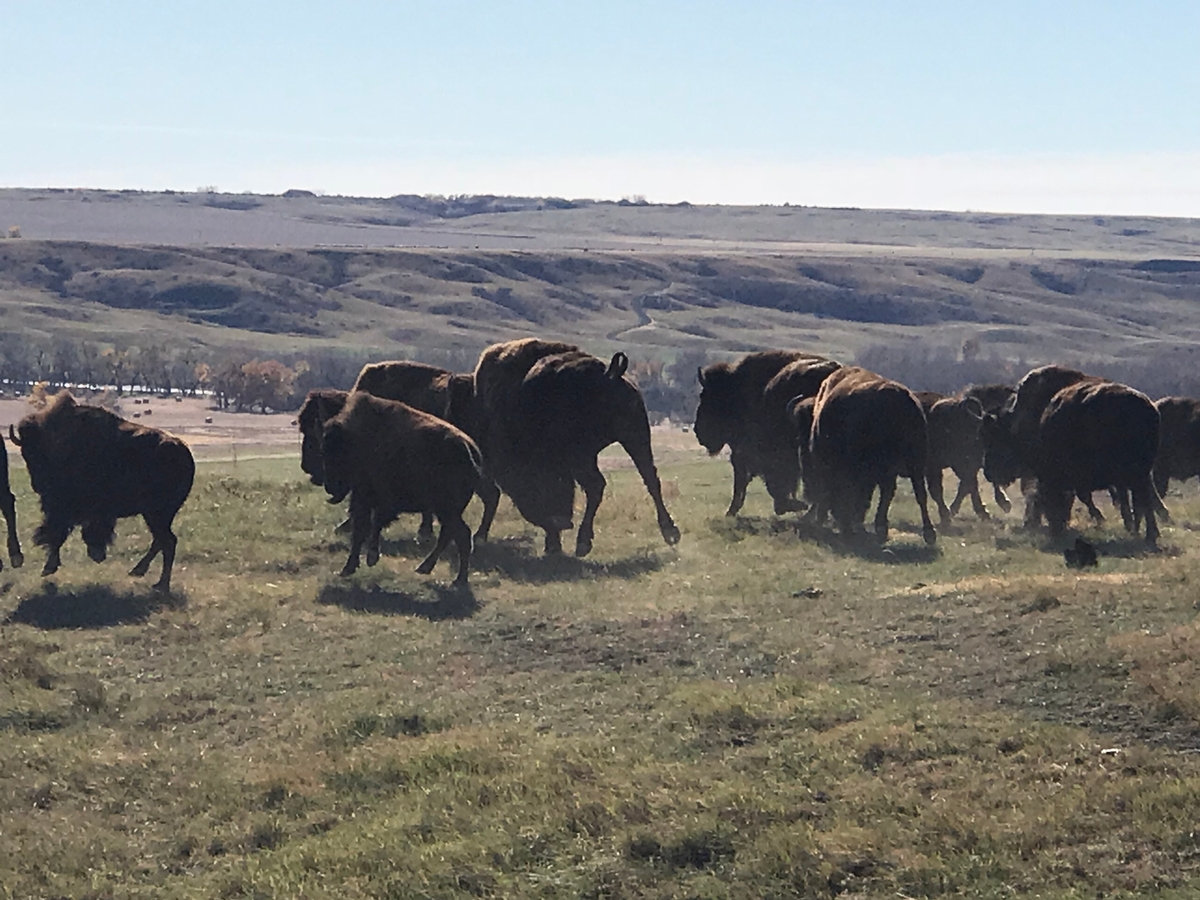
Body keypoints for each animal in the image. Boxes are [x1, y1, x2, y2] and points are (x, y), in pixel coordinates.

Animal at [10, 392, 194, 591]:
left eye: (35, 454)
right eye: (25, 453)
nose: (38, 485)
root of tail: (186, 455)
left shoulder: (63, 509)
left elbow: (56, 534)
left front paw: (49, 567)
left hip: (157, 514)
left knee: (167, 541)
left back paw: (160, 583)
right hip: (157, 515)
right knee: (162, 540)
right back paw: (141, 573)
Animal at [321, 391, 483, 585]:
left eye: (332, 453)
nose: (329, 486)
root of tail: (470, 450)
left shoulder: (365, 498)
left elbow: (363, 529)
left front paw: (352, 566)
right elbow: (372, 526)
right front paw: (369, 559)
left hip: (446, 509)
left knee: (461, 535)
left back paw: (457, 579)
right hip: (447, 510)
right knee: (450, 535)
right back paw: (428, 569)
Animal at [474, 338, 680, 556]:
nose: (563, 522)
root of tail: (608, 375)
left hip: (586, 453)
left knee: (598, 484)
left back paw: (582, 542)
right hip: (634, 437)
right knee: (649, 478)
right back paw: (670, 532)